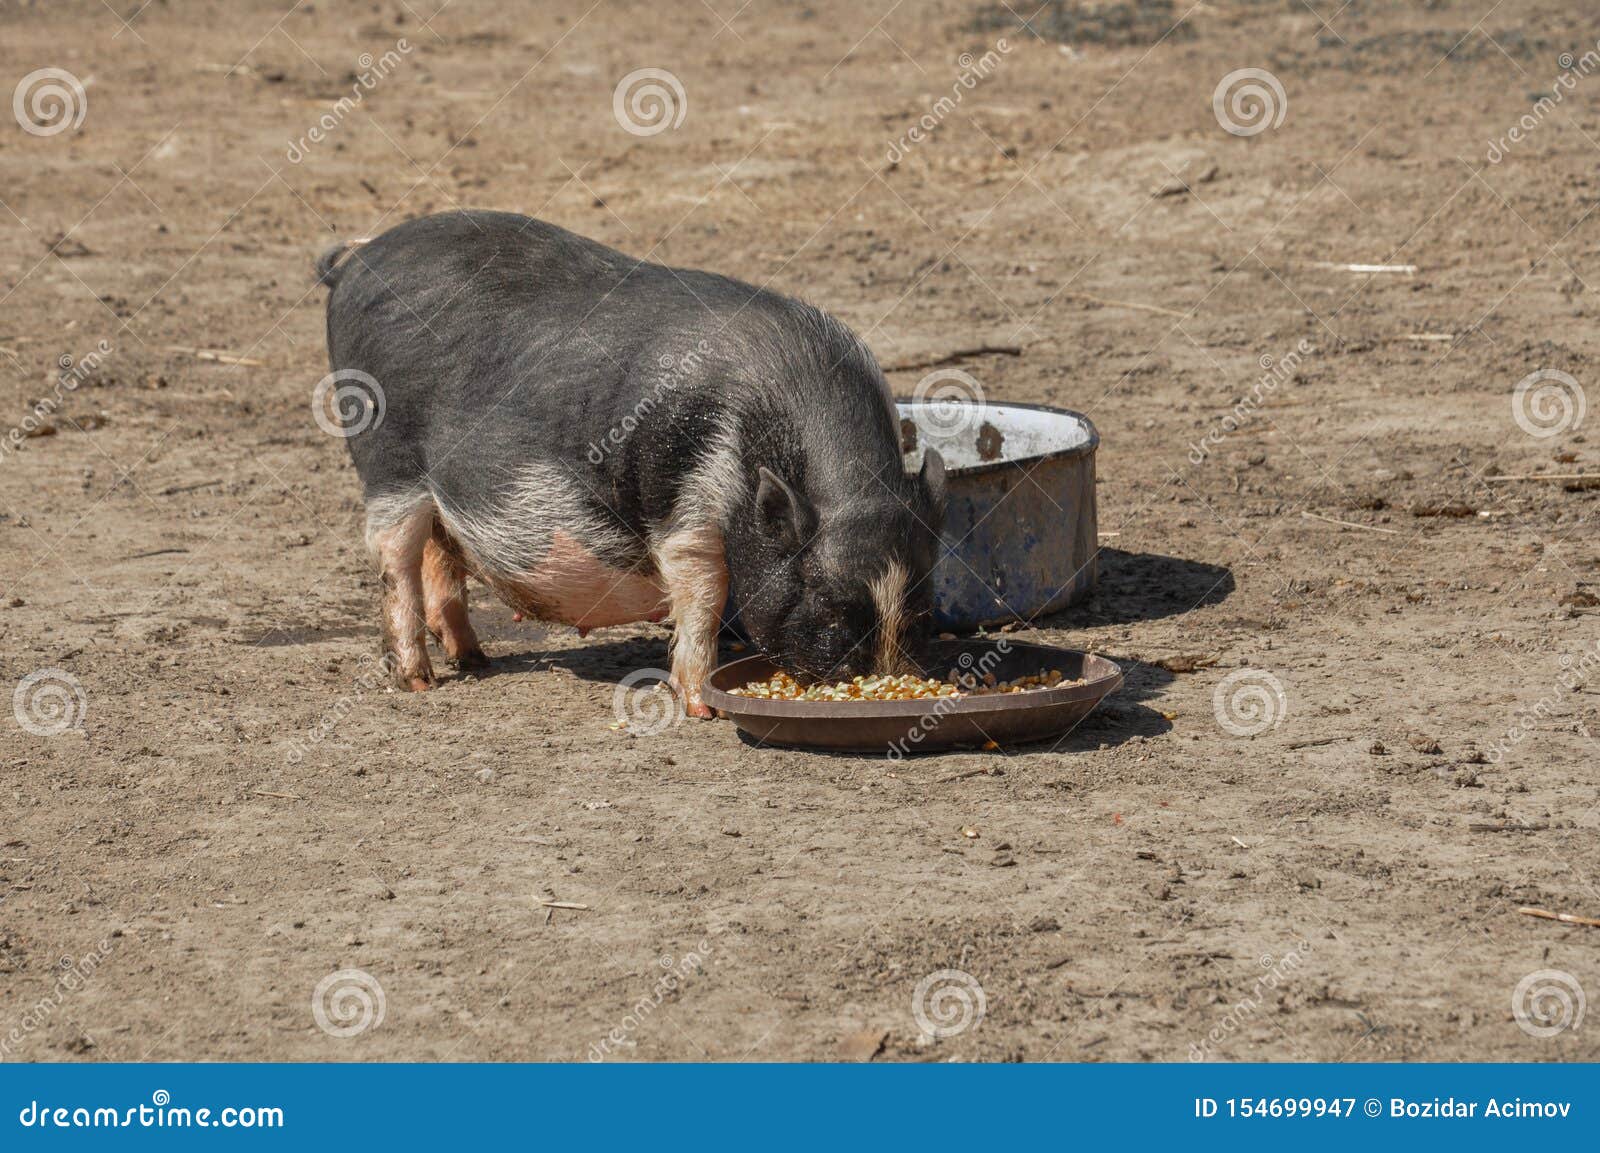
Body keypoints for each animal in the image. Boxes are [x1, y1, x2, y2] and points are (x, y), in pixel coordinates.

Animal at [316, 210, 946, 715]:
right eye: (831, 607)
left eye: (922, 608)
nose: (886, 682)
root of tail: (355, 261)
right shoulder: (682, 502)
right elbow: (704, 592)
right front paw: (700, 707)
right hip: (386, 462)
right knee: (393, 555)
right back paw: (418, 681)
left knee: (439, 548)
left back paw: (474, 661)